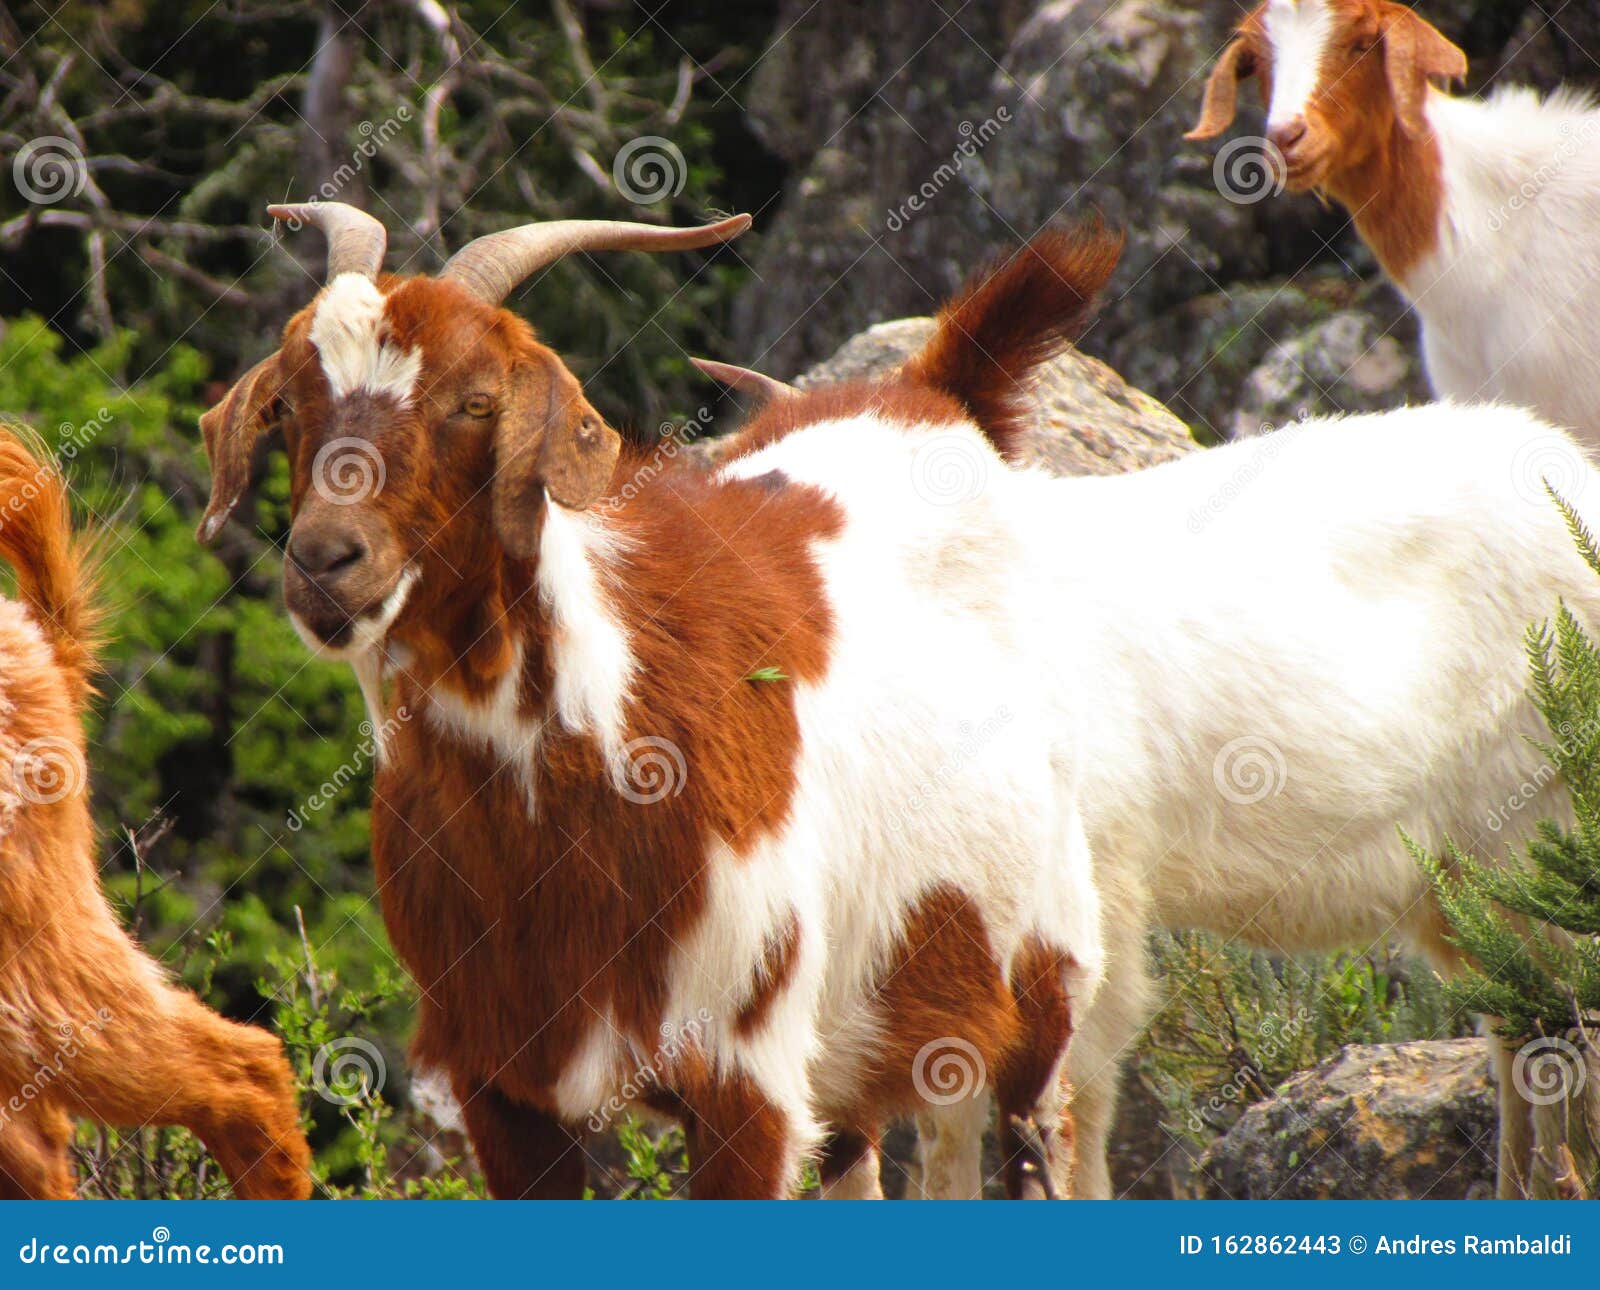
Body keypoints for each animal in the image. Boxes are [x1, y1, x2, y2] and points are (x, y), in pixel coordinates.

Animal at [195, 202, 1114, 1198]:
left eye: (475, 402)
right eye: (288, 403)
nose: (326, 560)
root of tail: (939, 393)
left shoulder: (747, 1080)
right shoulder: (501, 1082)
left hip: (1046, 973)